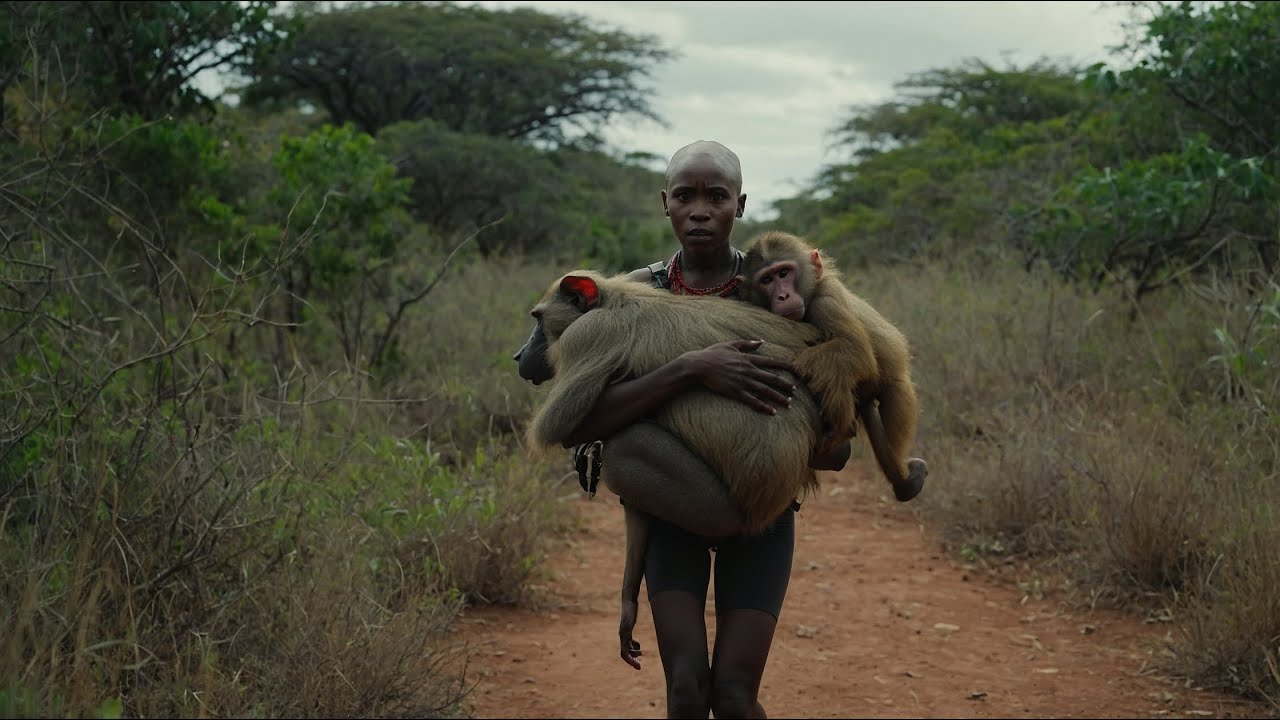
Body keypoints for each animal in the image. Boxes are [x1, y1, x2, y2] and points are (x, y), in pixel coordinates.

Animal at [735, 230, 928, 503]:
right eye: (767, 280)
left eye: (784, 273)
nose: (783, 296)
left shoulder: (825, 302)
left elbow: (856, 351)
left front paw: (800, 363)